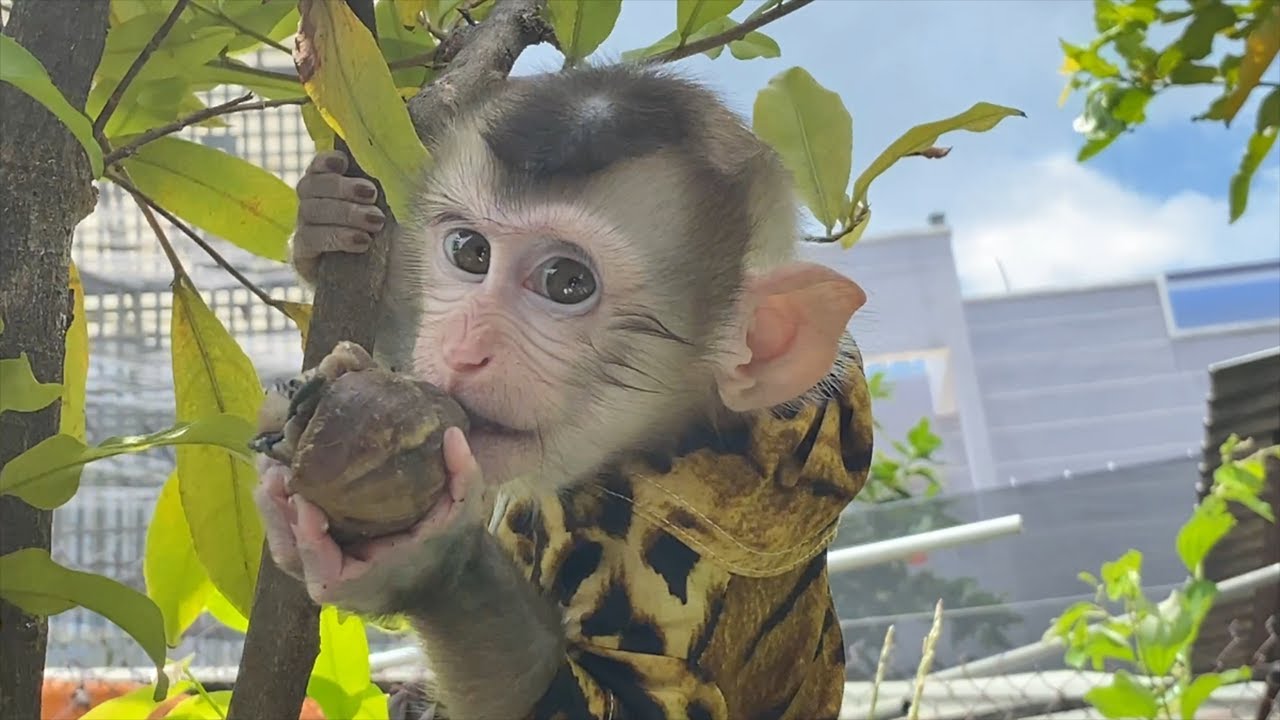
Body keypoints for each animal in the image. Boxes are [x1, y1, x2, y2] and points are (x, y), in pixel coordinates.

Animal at [254, 63, 874, 720]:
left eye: (568, 281)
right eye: (471, 252)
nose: (462, 348)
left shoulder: (663, 548)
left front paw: (429, 566)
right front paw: (323, 223)